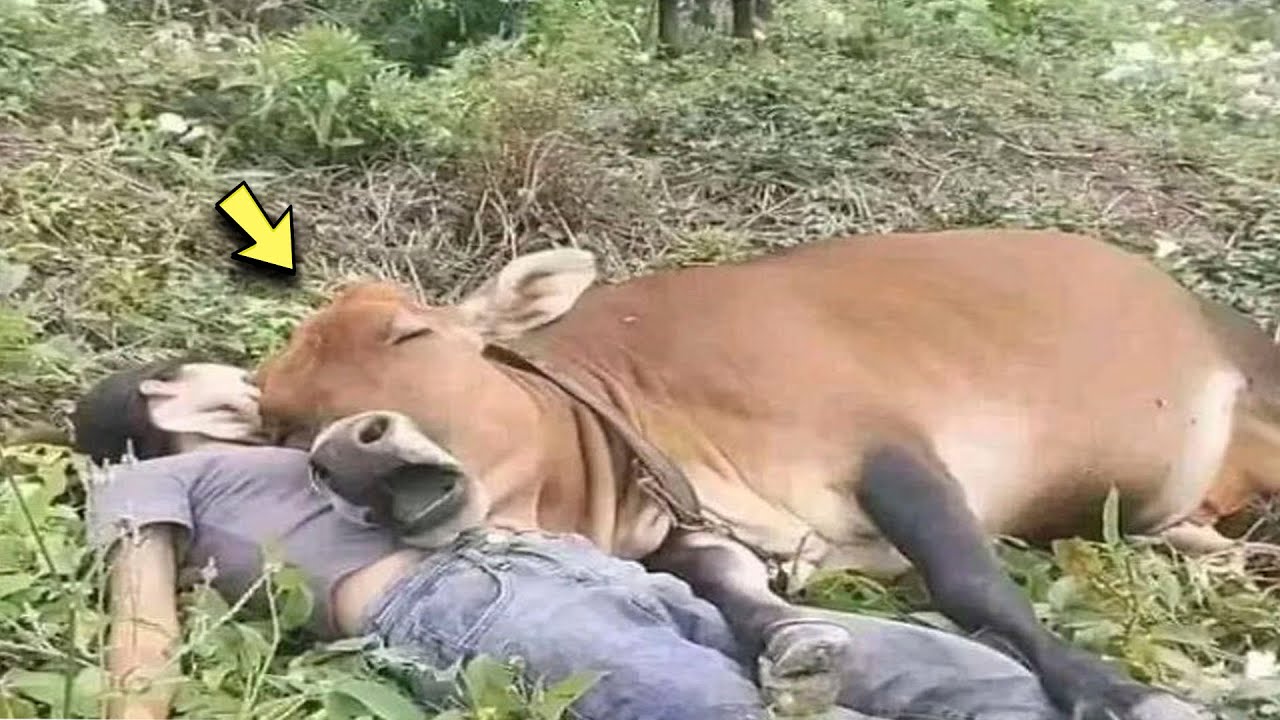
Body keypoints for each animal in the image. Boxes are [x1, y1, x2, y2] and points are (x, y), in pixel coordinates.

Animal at [255, 228, 1280, 720]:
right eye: (283, 424)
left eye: (409, 334)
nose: (348, 451)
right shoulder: (699, 526)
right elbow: (735, 588)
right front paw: (795, 641)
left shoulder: (882, 440)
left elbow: (971, 582)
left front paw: (1122, 694)